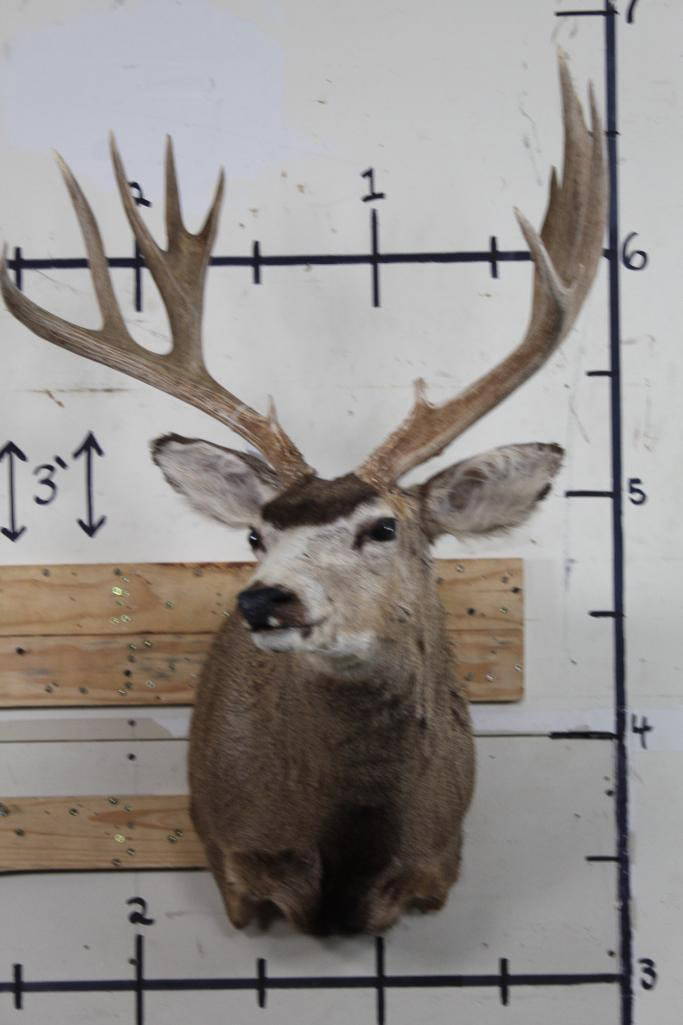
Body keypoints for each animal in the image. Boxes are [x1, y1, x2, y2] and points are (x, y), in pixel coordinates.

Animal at [1, 54, 605, 936]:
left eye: (383, 528)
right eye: (257, 533)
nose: (263, 600)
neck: (345, 851)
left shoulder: (439, 862)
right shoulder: (233, 857)